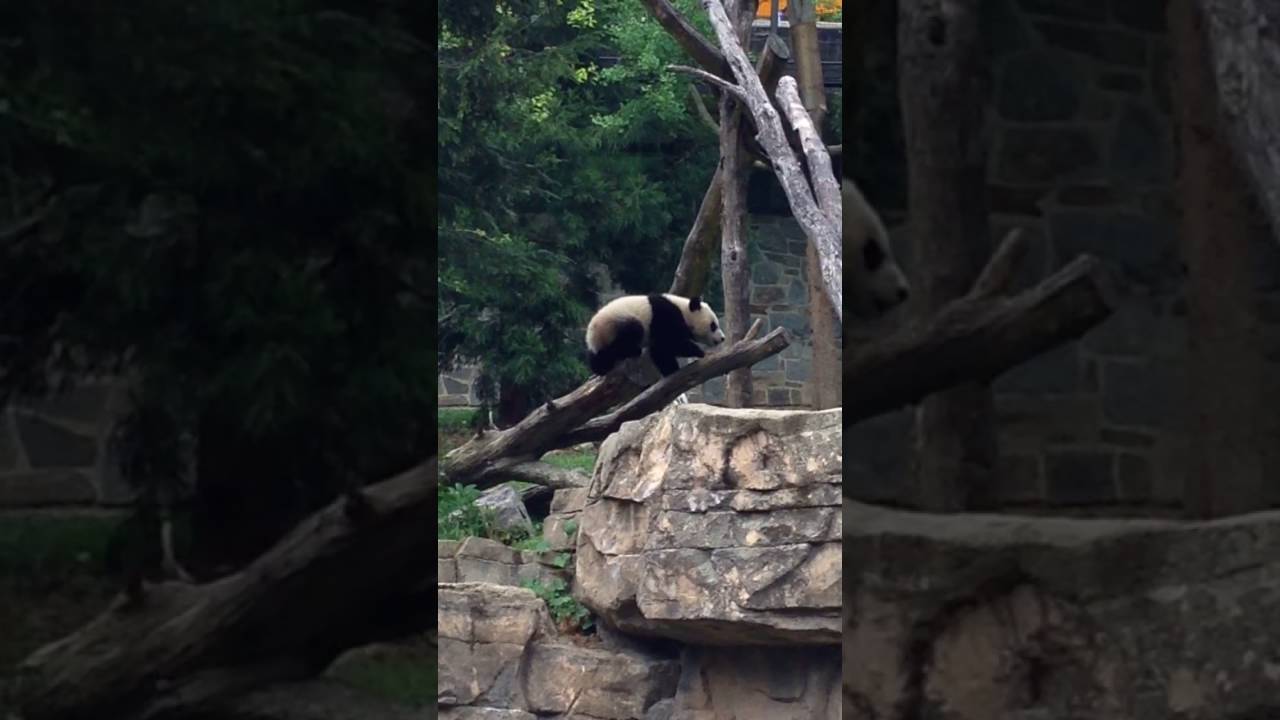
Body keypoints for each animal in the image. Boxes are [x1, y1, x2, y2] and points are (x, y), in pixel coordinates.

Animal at [585, 294, 726, 377]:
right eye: (713, 325)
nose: (722, 338)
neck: (684, 310)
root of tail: (592, 335)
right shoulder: (664, 315)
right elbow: (670, 342)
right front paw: (700, 352)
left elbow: (659, 350)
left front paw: (670, 369)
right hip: (615, 324)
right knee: (632, 332)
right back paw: (632, 351)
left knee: (599, 358)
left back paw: (601, 367)